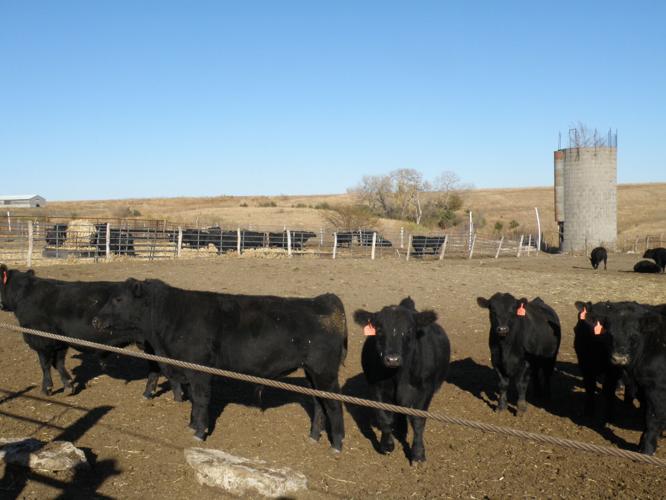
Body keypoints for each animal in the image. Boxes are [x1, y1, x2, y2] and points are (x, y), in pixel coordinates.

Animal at [0, 265, 179, 400]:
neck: (25, 294)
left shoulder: (41, 340)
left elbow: (45, 365)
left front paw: (47, 388)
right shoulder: (59, 342)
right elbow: (59, 363)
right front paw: (68, 386)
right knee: (157, 368)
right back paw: (150, 393)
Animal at [93, 279, 348, 449]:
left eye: (118, 299)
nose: (95, 320)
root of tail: (323, 301)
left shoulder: (199, 371)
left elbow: (201, 399)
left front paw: (199, 432)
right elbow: (194, 400)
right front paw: (192, 424)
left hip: (325, 372)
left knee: (334, 405)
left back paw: (337, 444)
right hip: (312, 374)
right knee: (319, 404)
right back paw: (314, 436)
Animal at [353, 297, 450, 462]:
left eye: (409, 330)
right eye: (379, 329)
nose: (392, 359)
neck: (398, 376)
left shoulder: (425, 390)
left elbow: (418, 421)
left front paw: (418, 453)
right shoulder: (376, 388)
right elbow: (384, 417)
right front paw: (387, 445)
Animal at [584, 301, 666, 455]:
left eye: (634, 335)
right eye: (610, 334)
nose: (618, 358)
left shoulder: (656, 388)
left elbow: (652, 418)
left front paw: (647, 449)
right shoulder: (642, 387)